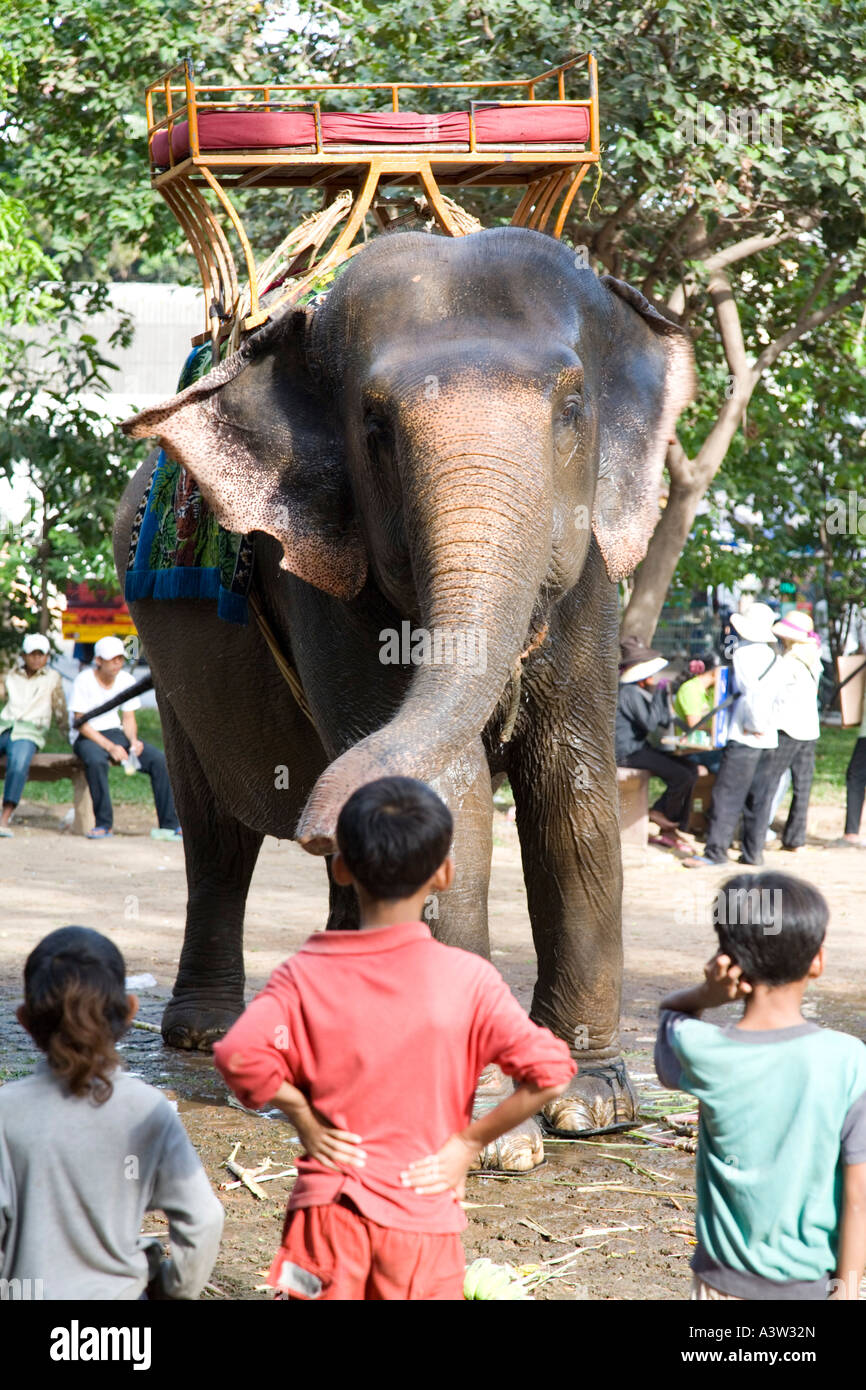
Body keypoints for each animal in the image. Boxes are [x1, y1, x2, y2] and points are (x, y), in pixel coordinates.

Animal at [118, 225, 695, 1167]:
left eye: (573, 408)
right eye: (376, 428)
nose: (319, 816)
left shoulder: (593, 586)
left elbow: (571, 790)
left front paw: (591, 1104)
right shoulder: (317, 572)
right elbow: (444, 792)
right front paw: (495, 1134)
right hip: (169, 660)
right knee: (215, 833)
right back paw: (203, 1032)